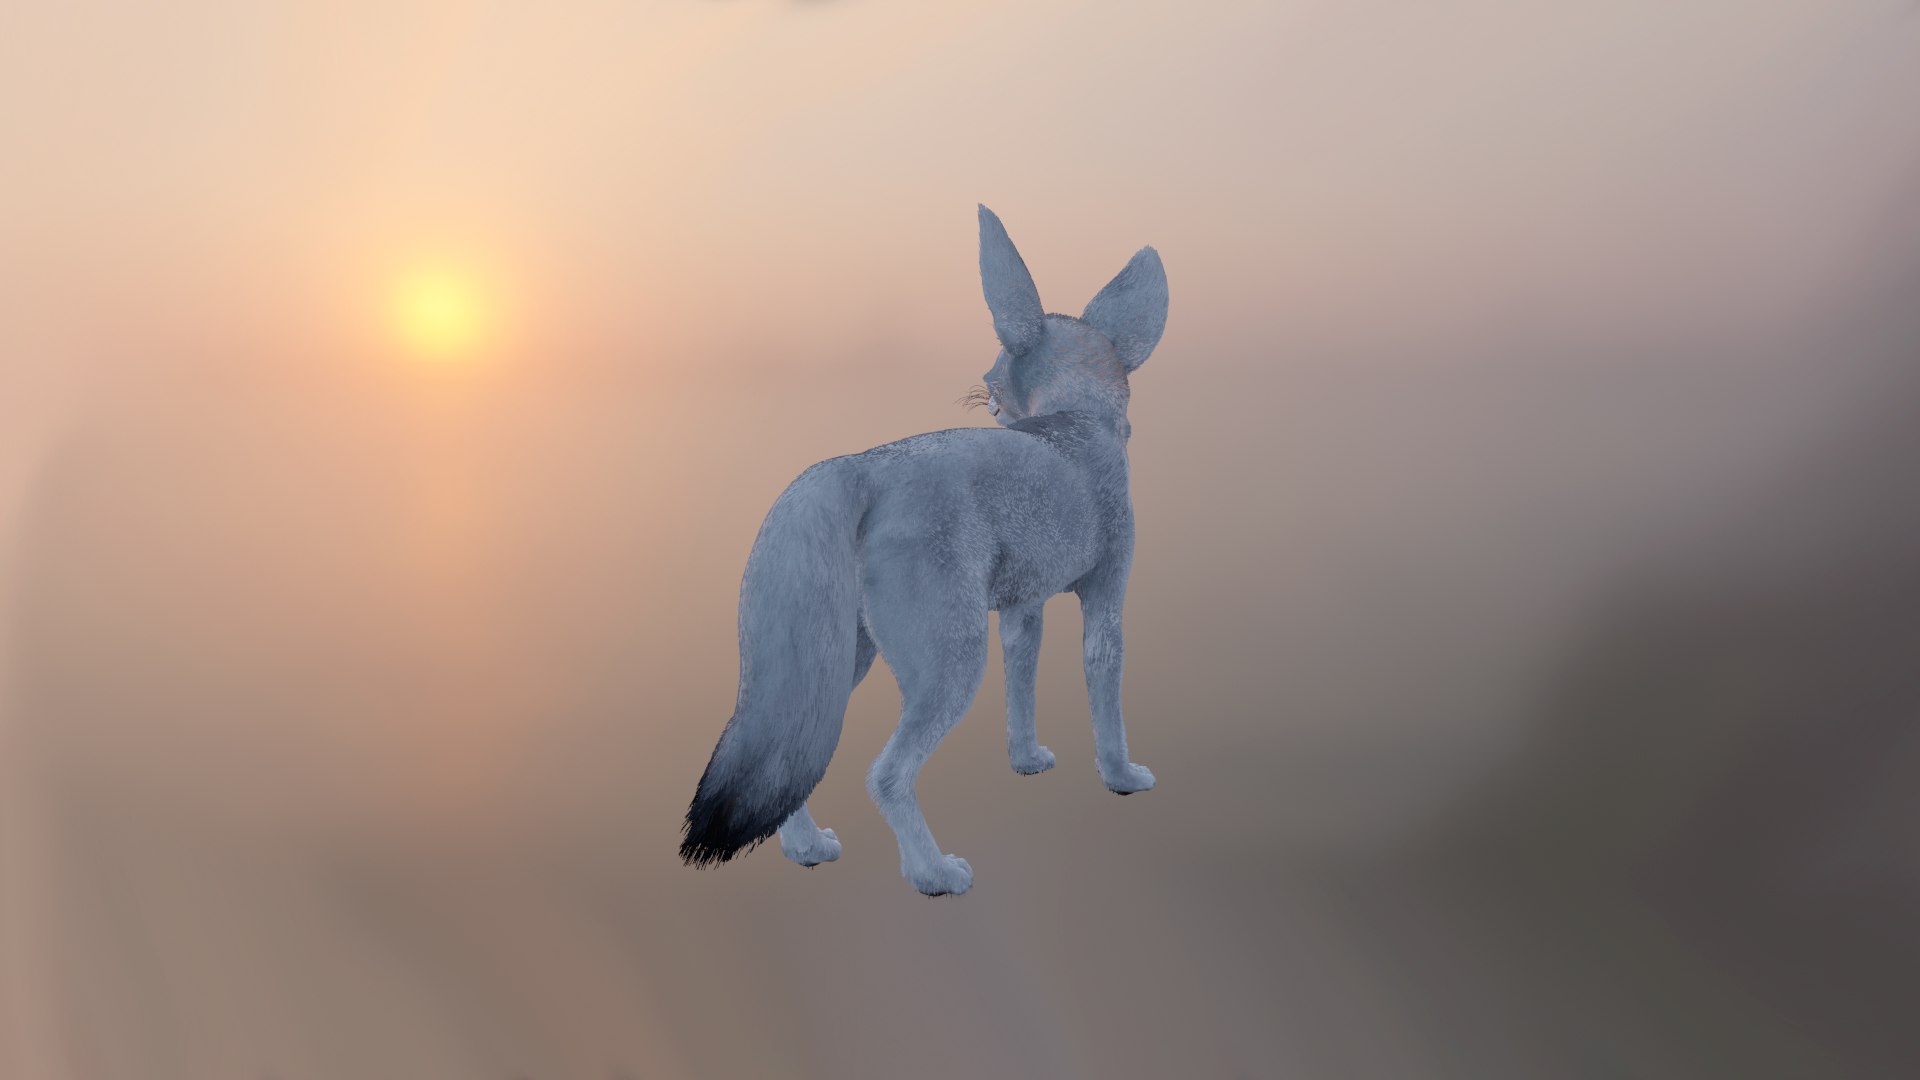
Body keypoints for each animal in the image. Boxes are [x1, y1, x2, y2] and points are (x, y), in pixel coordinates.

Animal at [679, 205, 1168, 896]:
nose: (984, 390)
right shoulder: (1105, 593)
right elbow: (1107, 697)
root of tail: (856, 466)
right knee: (884, 775)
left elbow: (1021, 691)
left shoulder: (1021, 611)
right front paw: (1121, 776)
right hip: (951, 661)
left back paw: (806, 848)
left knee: (792, 761)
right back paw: (933, 872)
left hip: (843, 661)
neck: (1075, 420)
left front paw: (1026, 759)